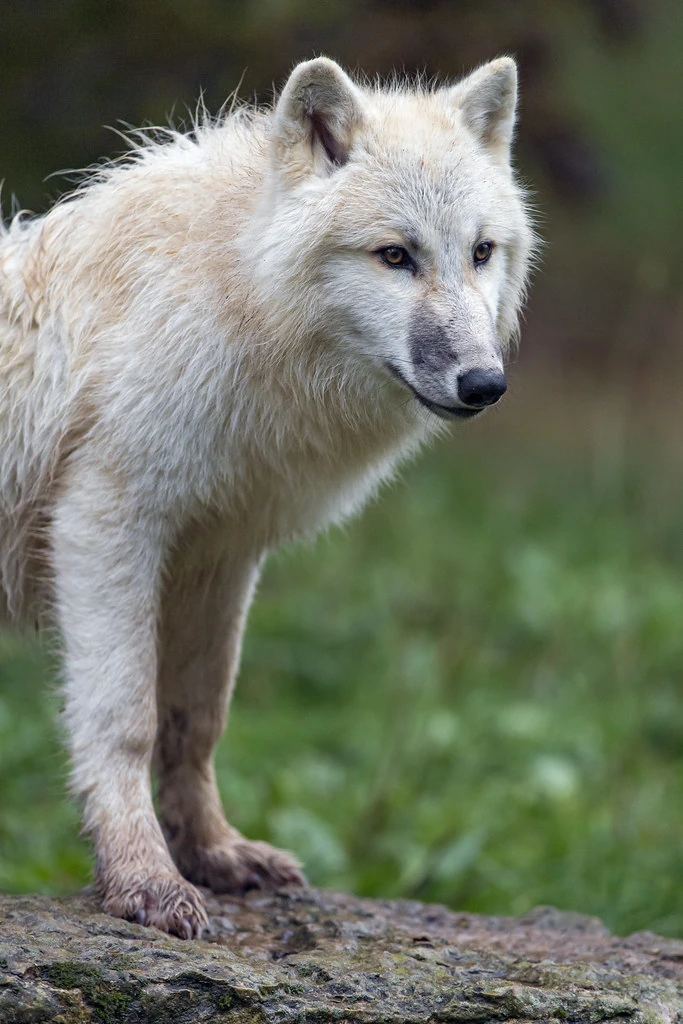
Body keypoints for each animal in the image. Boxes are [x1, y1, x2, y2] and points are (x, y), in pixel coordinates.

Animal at [0, 57, 534, 937]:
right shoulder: (106, 527)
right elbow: (126, 720)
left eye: (480, 252)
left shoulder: (219, 555)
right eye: (395, 255)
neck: (236, 299)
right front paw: (144, 878)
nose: (484, 385)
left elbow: (196, 719)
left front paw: (211, 853)